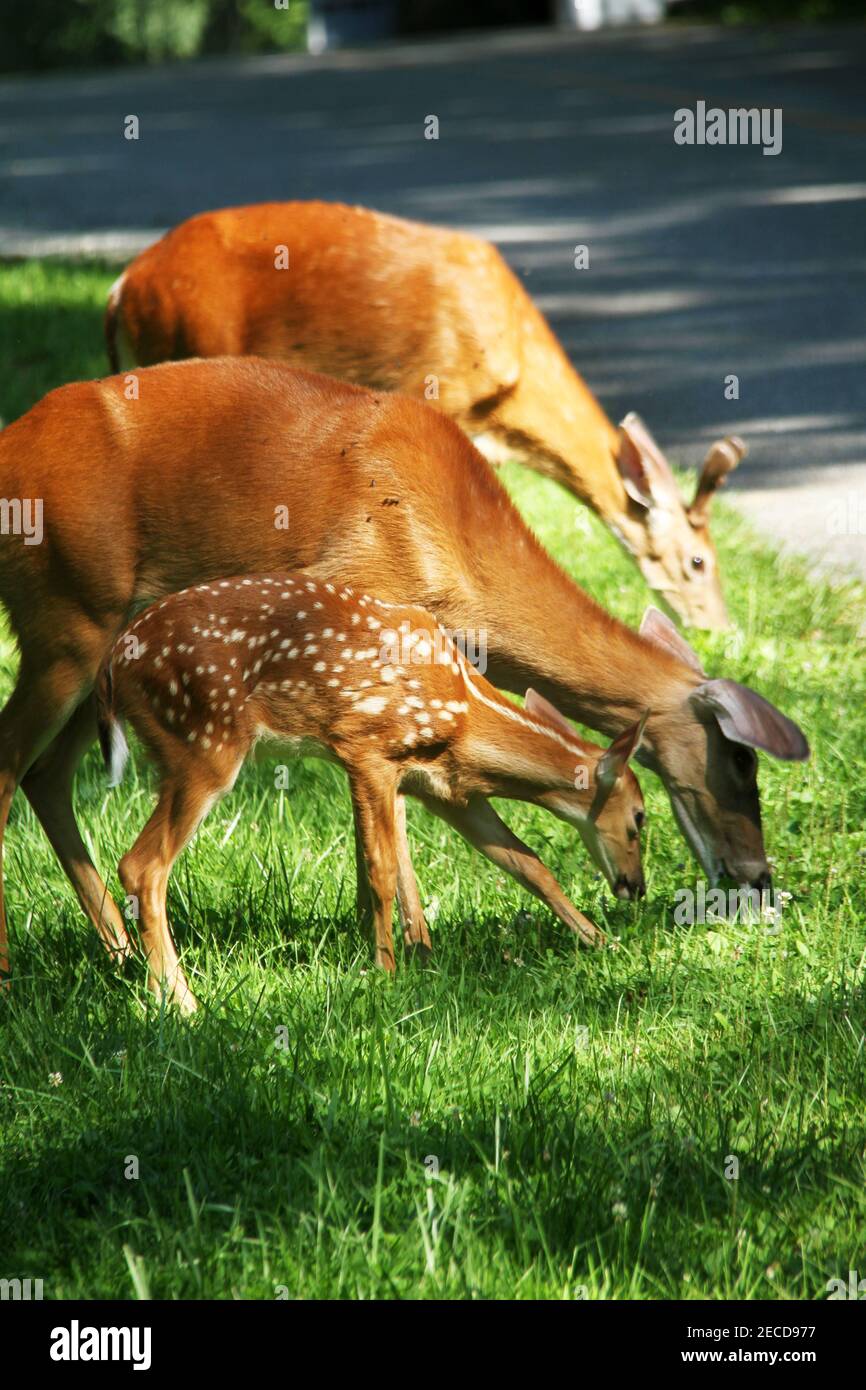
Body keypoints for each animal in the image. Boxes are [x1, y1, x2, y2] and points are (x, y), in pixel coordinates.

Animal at [95, 573, 649, 1012]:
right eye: (641, 816)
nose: (637, 887)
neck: (463, 715)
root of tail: (115, 662)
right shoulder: (367, 750)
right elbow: (381, 871)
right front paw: (387, 973)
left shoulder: (445, 788)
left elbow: (527, 864)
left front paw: (602, 943)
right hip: (205, 741)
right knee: (142, 865)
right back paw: (184, 1004)